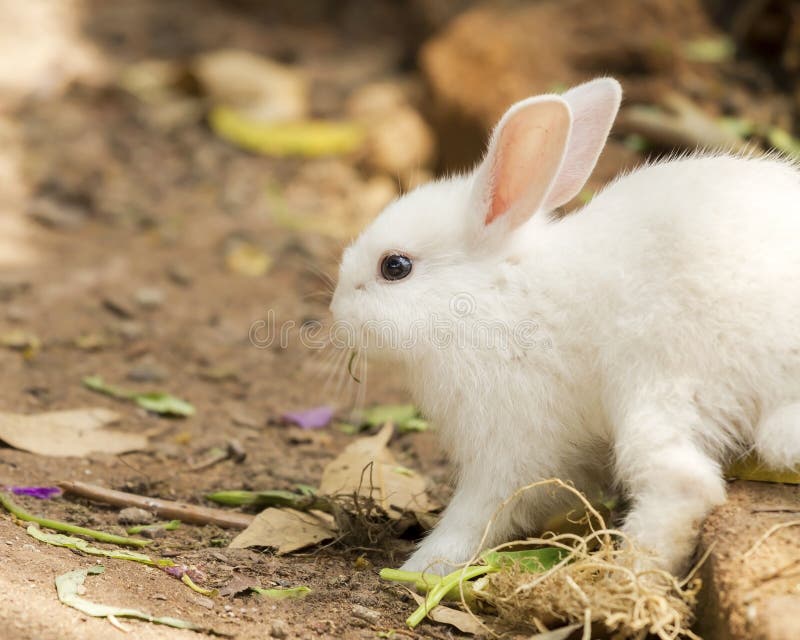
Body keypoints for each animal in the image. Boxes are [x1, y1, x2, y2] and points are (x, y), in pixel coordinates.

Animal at [330, 77, 800, 576]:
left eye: (395, 267)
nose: (336, 311)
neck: (491, 297)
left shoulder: (510, 440)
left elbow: (480, 512)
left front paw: (421, 568)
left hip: (659, 384)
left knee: (685, 484)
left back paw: (624, 573)